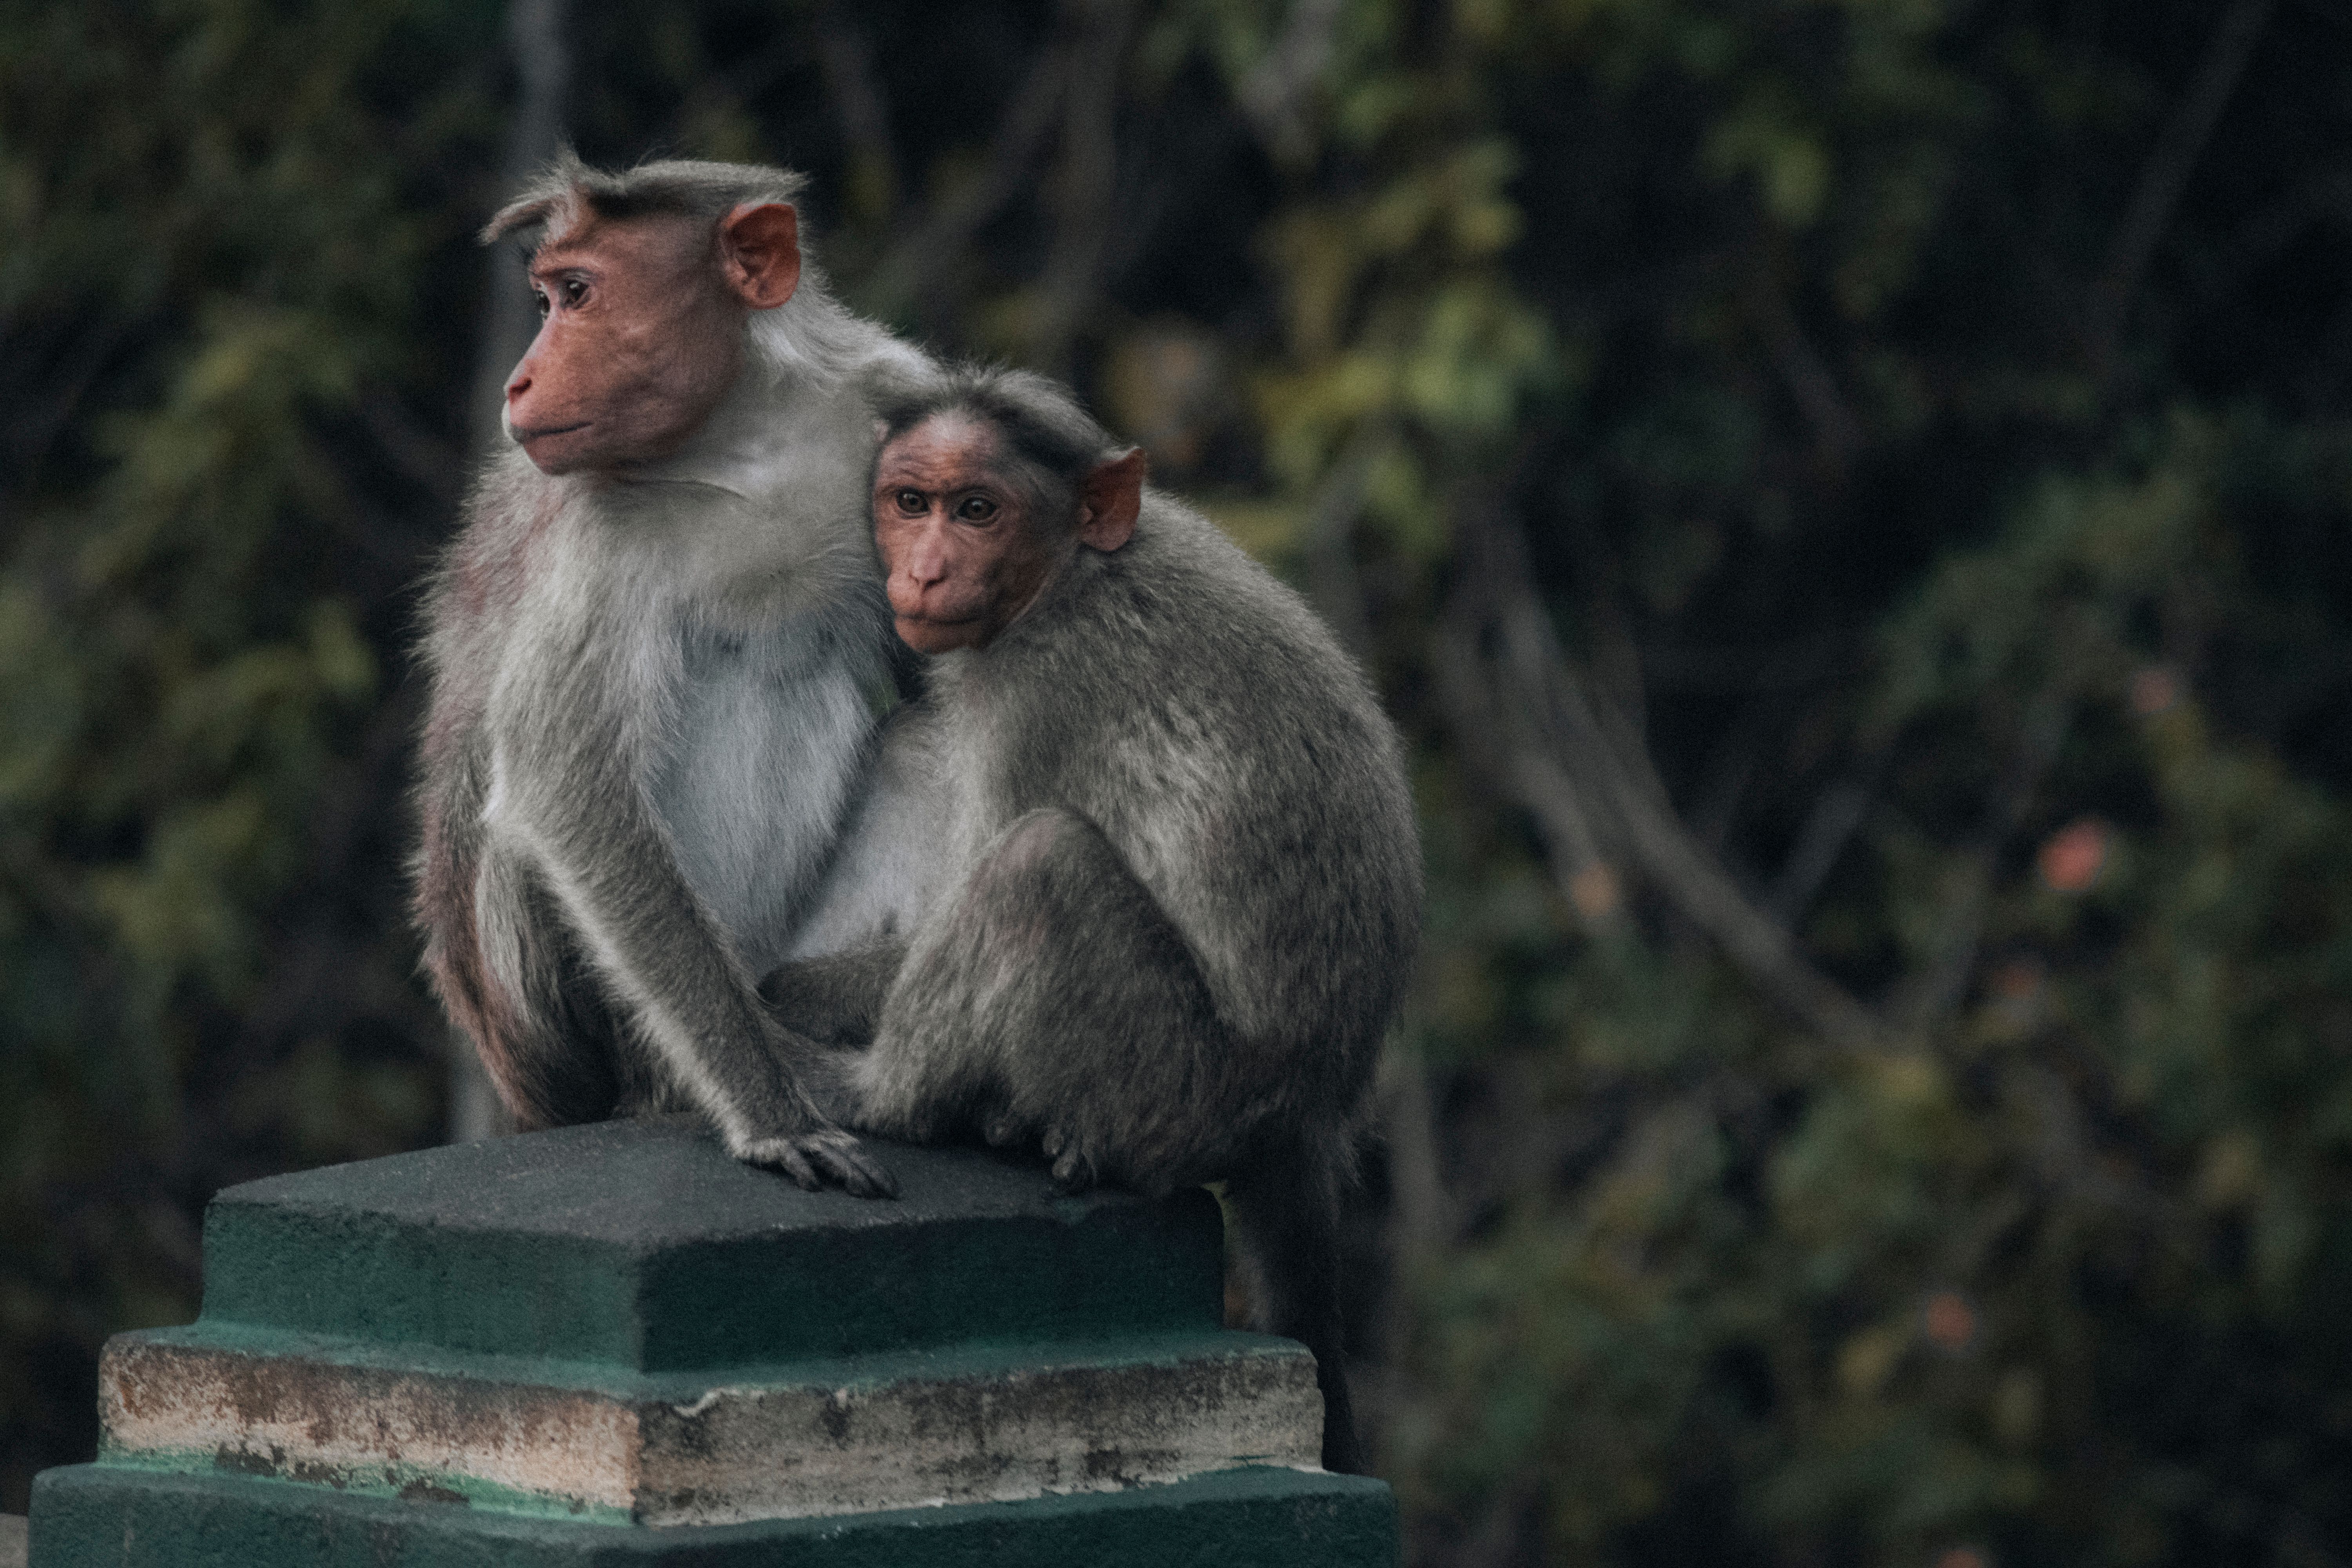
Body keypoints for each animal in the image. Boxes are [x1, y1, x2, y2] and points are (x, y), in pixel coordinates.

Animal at [413, 155, 933, 1198]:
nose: (521, 377)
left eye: (578, 294)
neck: (747, 445)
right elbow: (568, 789)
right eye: (546, 297)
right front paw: (772, 1112)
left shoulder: (906, 393)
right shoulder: (597, 524)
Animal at [759, 365, 1425, 1473]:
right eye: (912, 502)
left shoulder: (1040, 690)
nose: (925, 572)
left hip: (1171, 1081)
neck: (1070, 575)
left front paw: (779, 989)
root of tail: (1307, 1115)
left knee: (1039, 865)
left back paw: (877, 1096)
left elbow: (991, 865)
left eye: (977, 510)